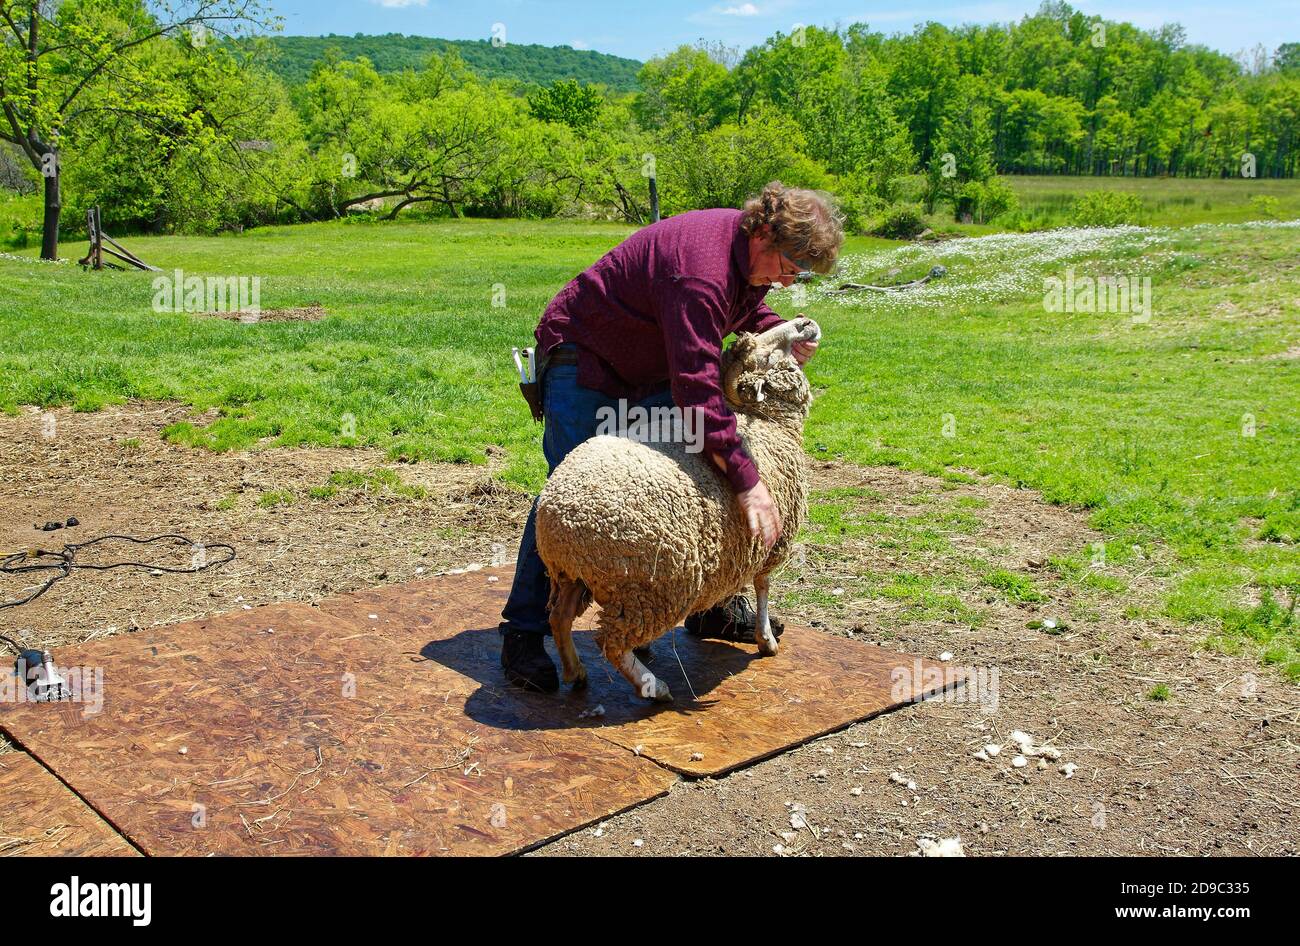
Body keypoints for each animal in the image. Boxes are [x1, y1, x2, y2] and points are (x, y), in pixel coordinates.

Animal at [535, 317, 821, 702]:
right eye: (767, 354)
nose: (805, 323)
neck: (763, 421)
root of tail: (558, 516)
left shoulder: (736, 546)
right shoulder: (772, 541)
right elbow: (763, 586)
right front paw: (766, 638)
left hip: (570, 576)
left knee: (559, 618)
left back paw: (575, 670)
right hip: (651, 586)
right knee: (610, 643)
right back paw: (652, 686)